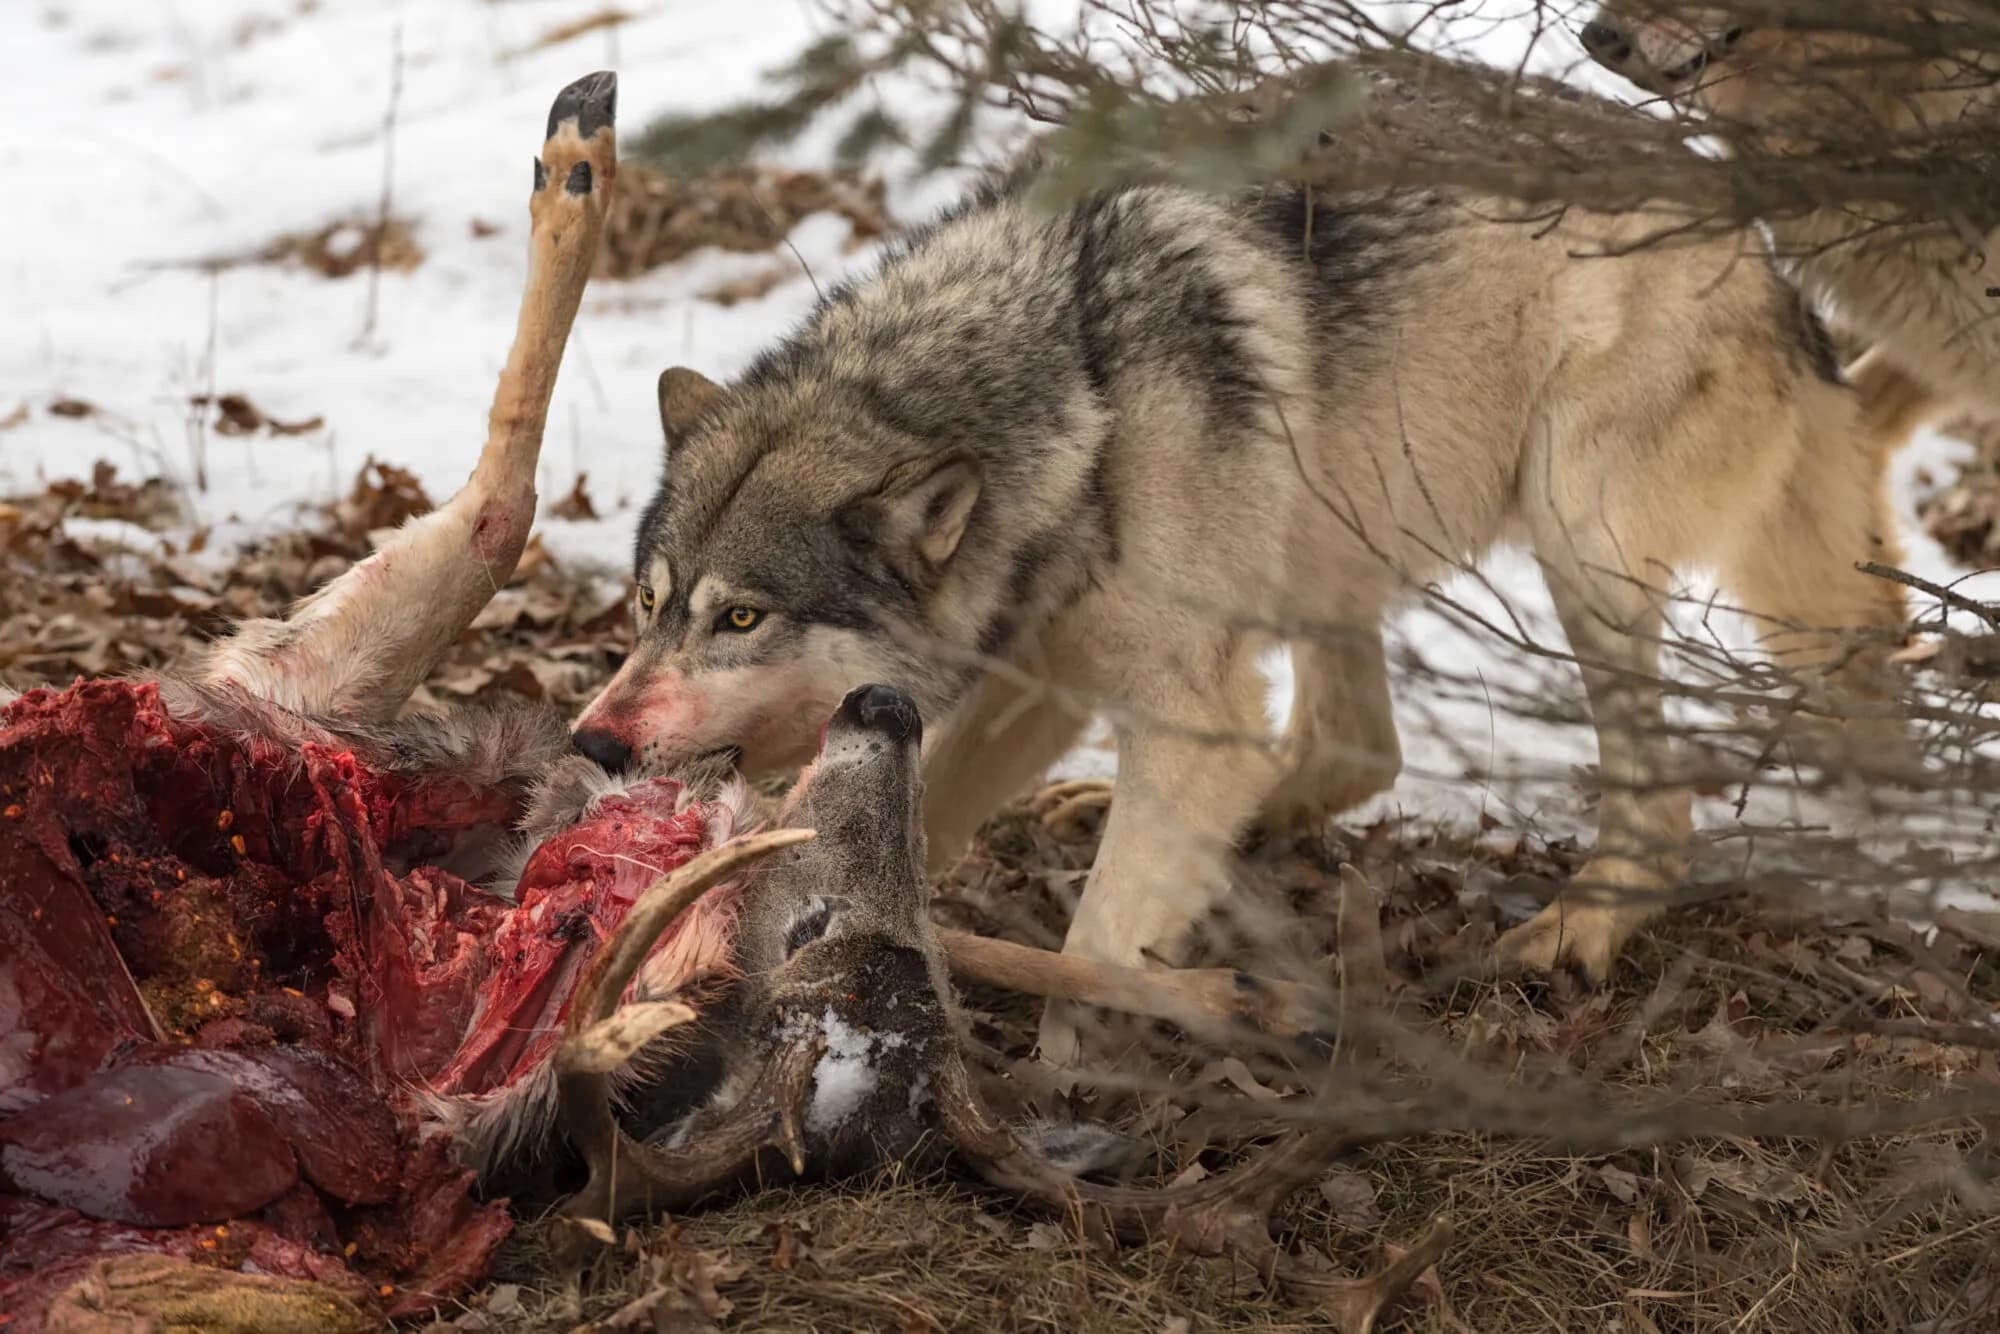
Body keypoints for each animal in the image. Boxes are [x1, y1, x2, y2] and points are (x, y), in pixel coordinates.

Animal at [570, 138, 1928, 1059]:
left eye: (740, 616)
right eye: (647, 604)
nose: (592, 740)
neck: (1074, 397)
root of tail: (1759, 248)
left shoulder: (1182, 701)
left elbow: (1096, 946)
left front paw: (1060, 1086)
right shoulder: (1039, 677)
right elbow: (929, 816)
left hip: (1571, 546)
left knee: (1651, 801)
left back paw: (1574, 931)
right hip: (1334, 543)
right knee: (1356, 747)